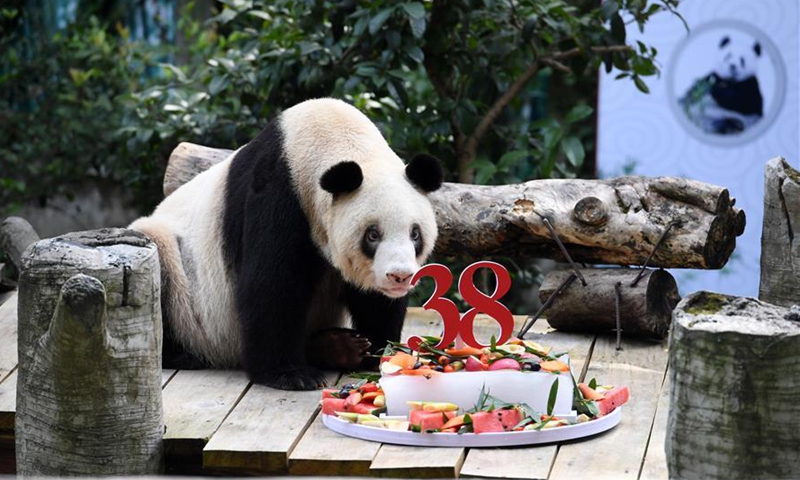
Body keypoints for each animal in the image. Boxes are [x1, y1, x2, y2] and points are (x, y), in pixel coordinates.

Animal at [130, 98, 443, 390]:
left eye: (415, 233)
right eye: (372, 235)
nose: (399, 276)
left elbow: (374, 300)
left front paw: (380, 353)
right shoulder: (279, 192)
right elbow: (272, 282)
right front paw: (290, 374)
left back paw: (338, 348)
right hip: (185, 285)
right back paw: (183, 354)